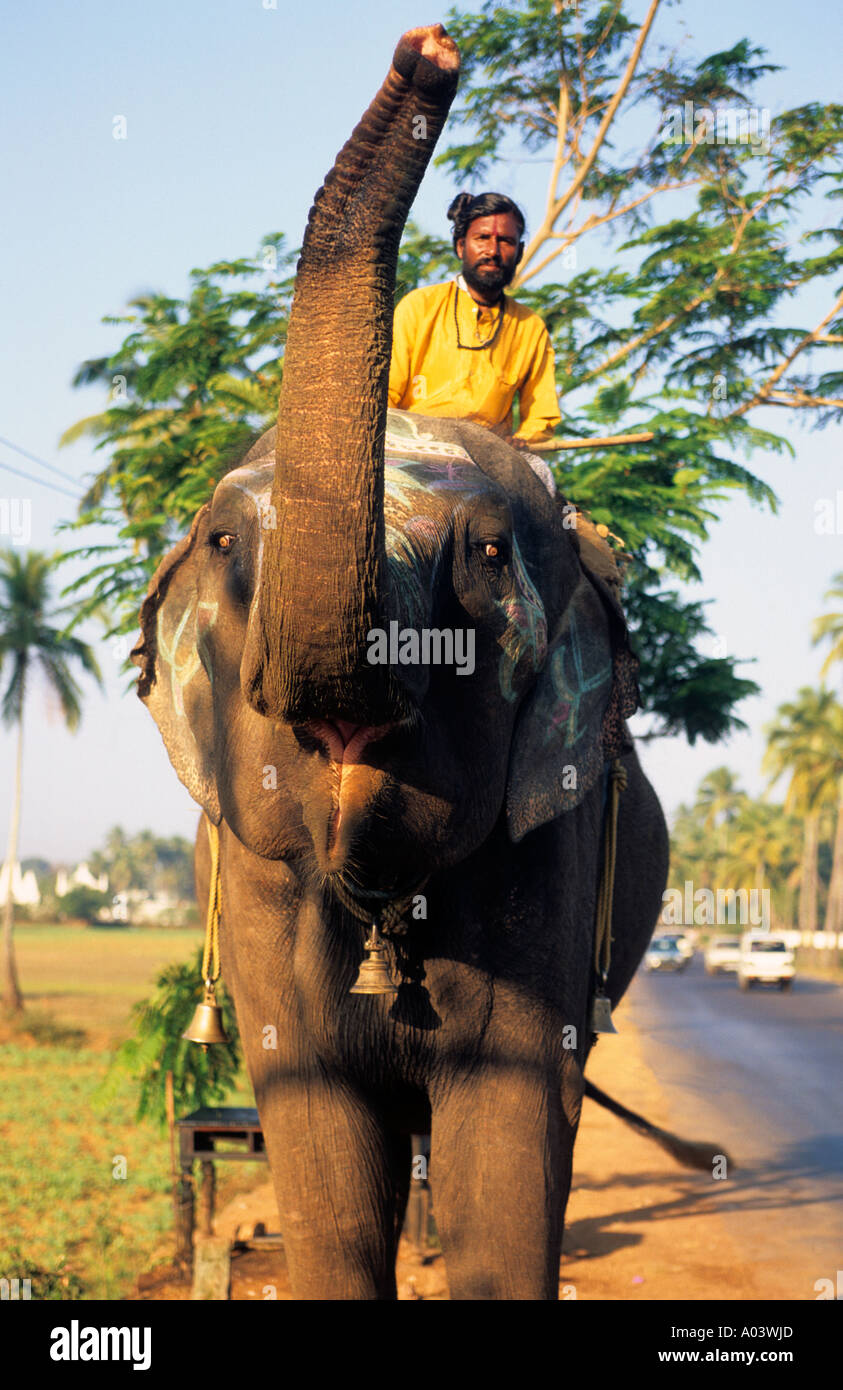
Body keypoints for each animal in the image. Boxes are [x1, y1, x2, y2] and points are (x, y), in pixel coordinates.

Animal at [131, 23, 670, 1299]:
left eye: (485, 555)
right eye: (224, 544)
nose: (432, 50)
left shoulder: (551, 849)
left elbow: (511, 1148)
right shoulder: (259, 887)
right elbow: (322, 1158)